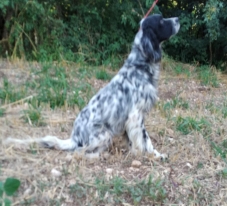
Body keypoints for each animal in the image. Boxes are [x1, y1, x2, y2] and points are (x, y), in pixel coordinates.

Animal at [4, 14, 180, 159]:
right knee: (77, 153)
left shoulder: (131, 120)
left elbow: (139, 141)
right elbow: (144, 140)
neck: (139, 65)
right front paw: (151, 156)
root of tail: (74, 138)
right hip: (104, 134)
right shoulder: (136, 116)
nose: (178, 19)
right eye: (161, 20)